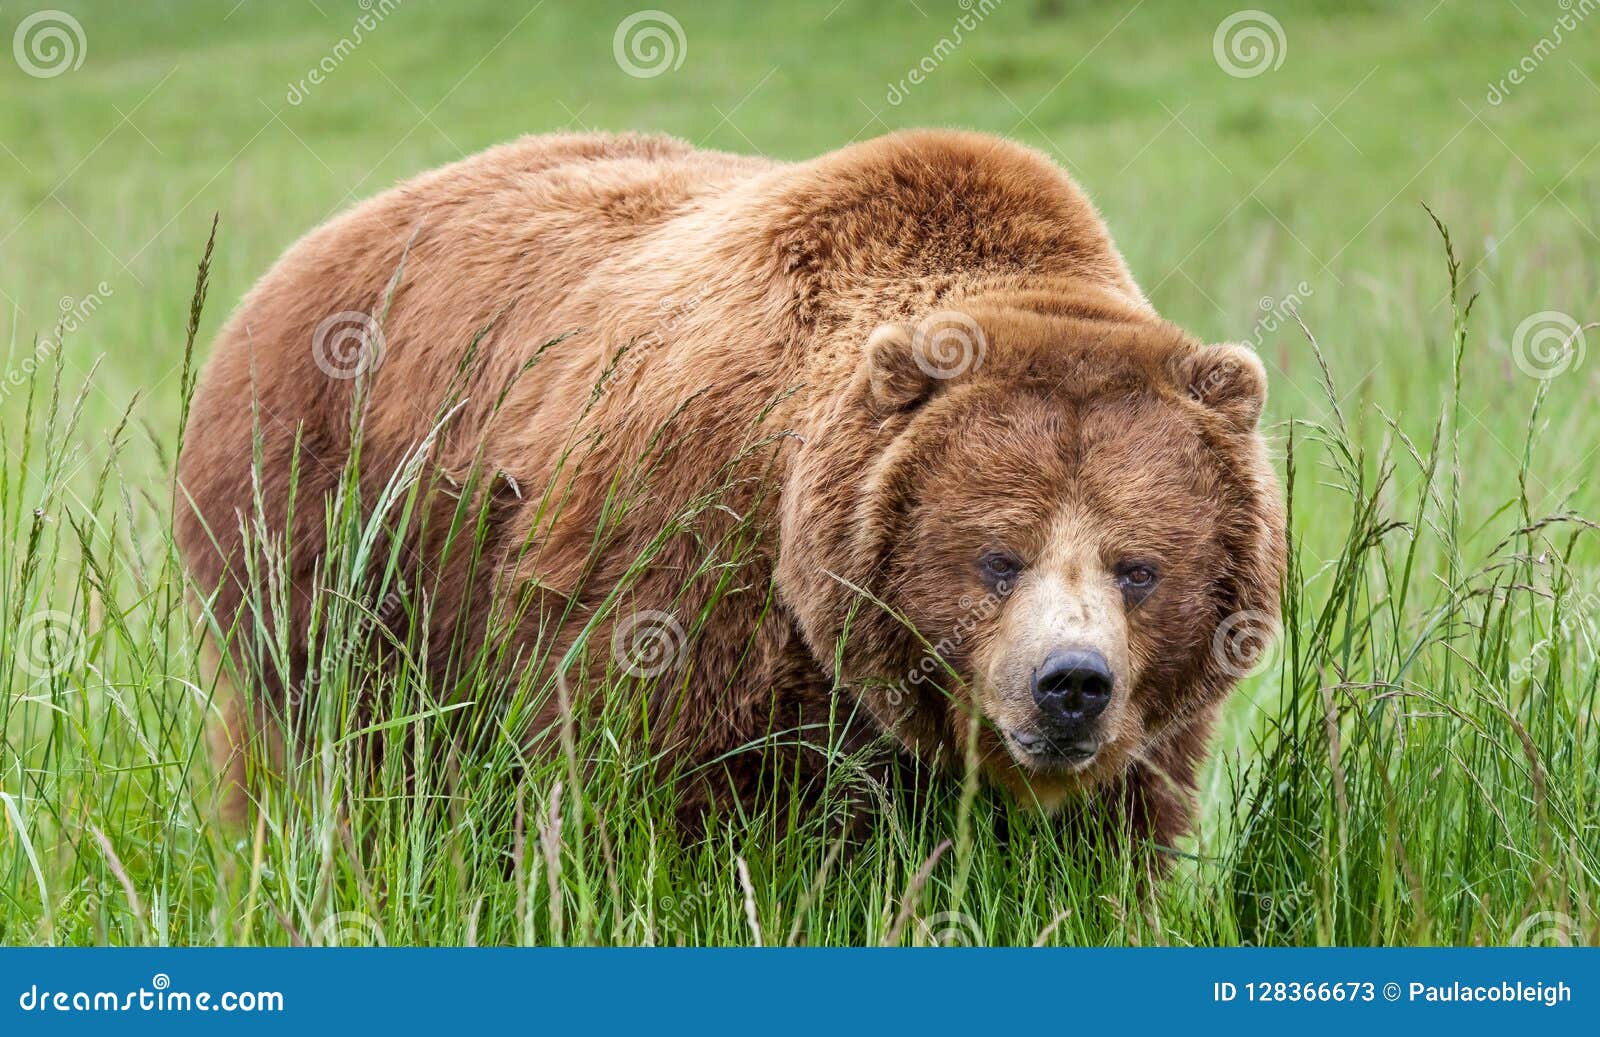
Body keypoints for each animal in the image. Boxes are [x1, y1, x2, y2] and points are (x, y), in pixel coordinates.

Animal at [176, 129, 1286, 848]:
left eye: (1139, 566)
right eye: (996, 557)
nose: (1071, 683)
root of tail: (291, 264)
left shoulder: (1152, 721)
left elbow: (1097, 845)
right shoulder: (690, 568)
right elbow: (658, 807)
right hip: (330, 530)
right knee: (340, 752)